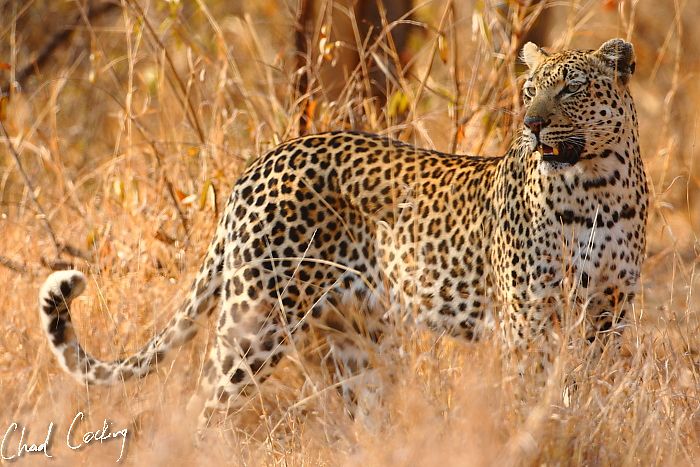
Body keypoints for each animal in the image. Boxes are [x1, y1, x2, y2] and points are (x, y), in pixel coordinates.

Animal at [38, 38, 647, 429]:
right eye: (529, 90)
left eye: (570, 89)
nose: (533, 123)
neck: (596, 185)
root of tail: (258, 165)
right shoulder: (528, 318)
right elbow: (532, 395)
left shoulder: (609, 311)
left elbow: (596, 389)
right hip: (255, 320)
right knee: (201, 408)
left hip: (358, 344)